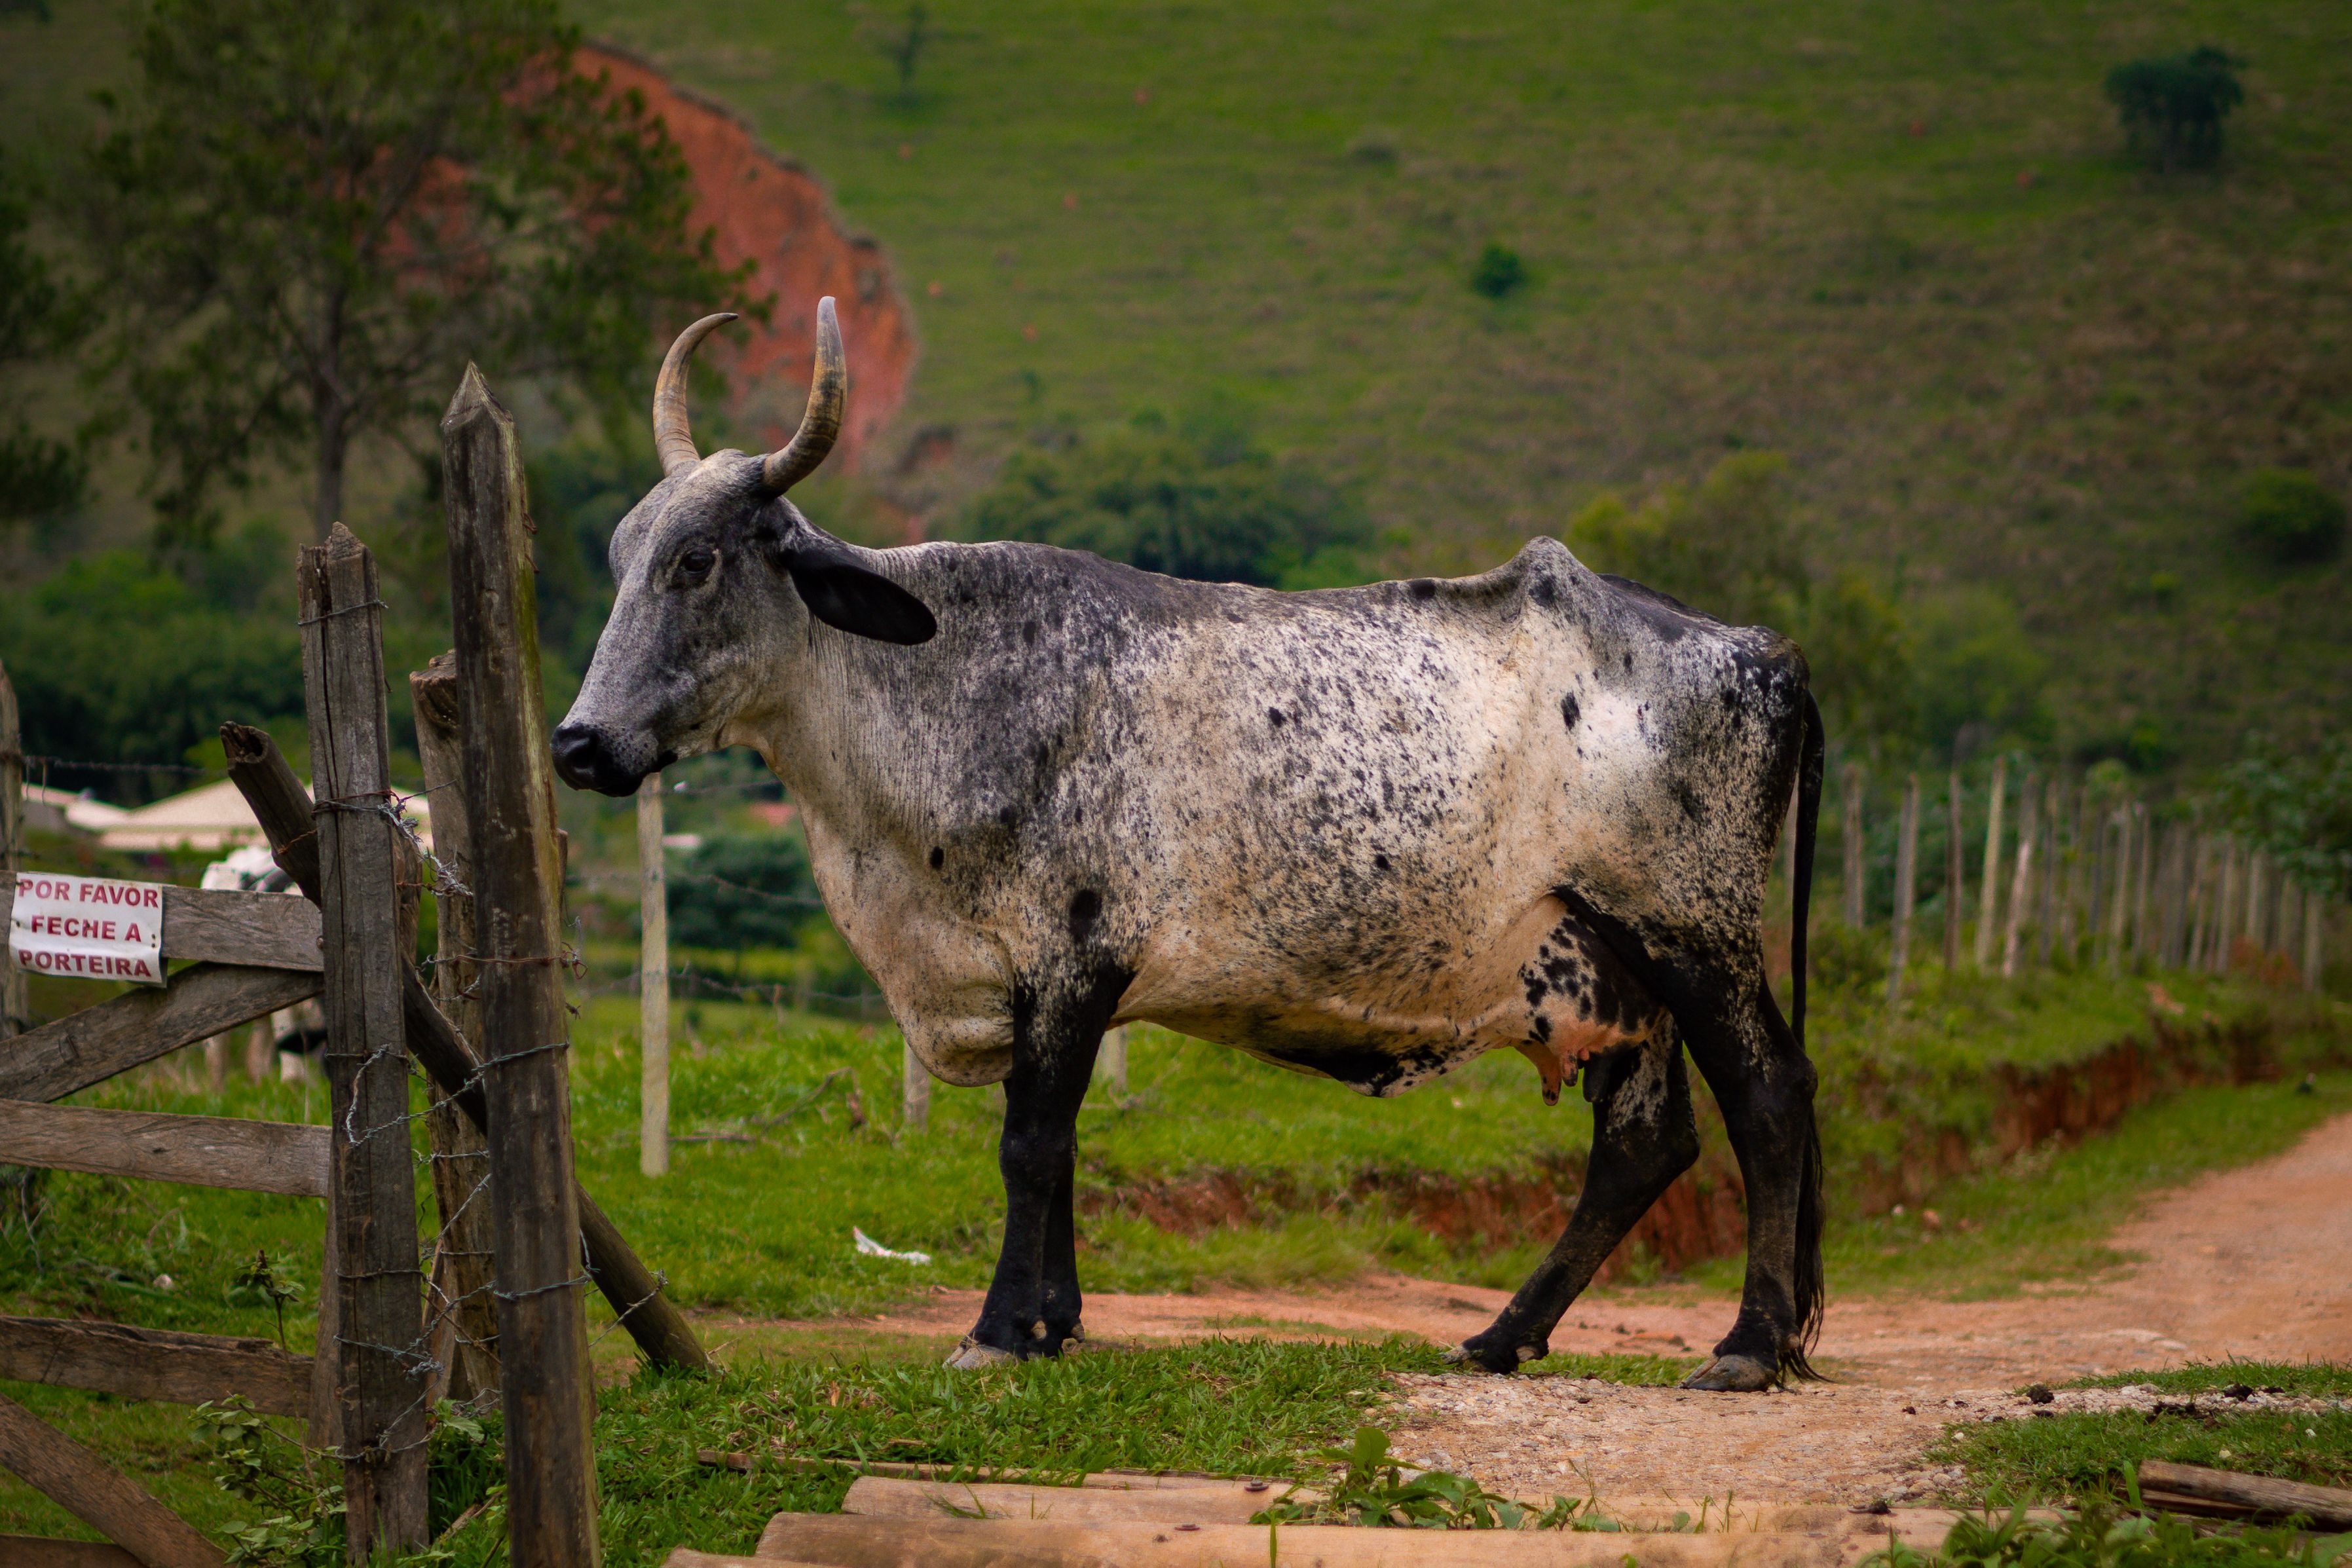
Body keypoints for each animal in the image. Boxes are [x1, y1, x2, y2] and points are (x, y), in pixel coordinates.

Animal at [553, 302, 1828, 1391]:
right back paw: (1503, 1335)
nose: (576, 741)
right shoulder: (1029, 985)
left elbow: (1030, 1143)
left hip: (1694, 933)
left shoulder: (1073, 960)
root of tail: (1757, 644)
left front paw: (998, 1331)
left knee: (1770, 1093)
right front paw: (1055, 1323)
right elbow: (1058, 1146)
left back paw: (1747, 1344)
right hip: (1610, 970)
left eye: (698, 561)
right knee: (1644, 1143)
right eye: (618, 558)